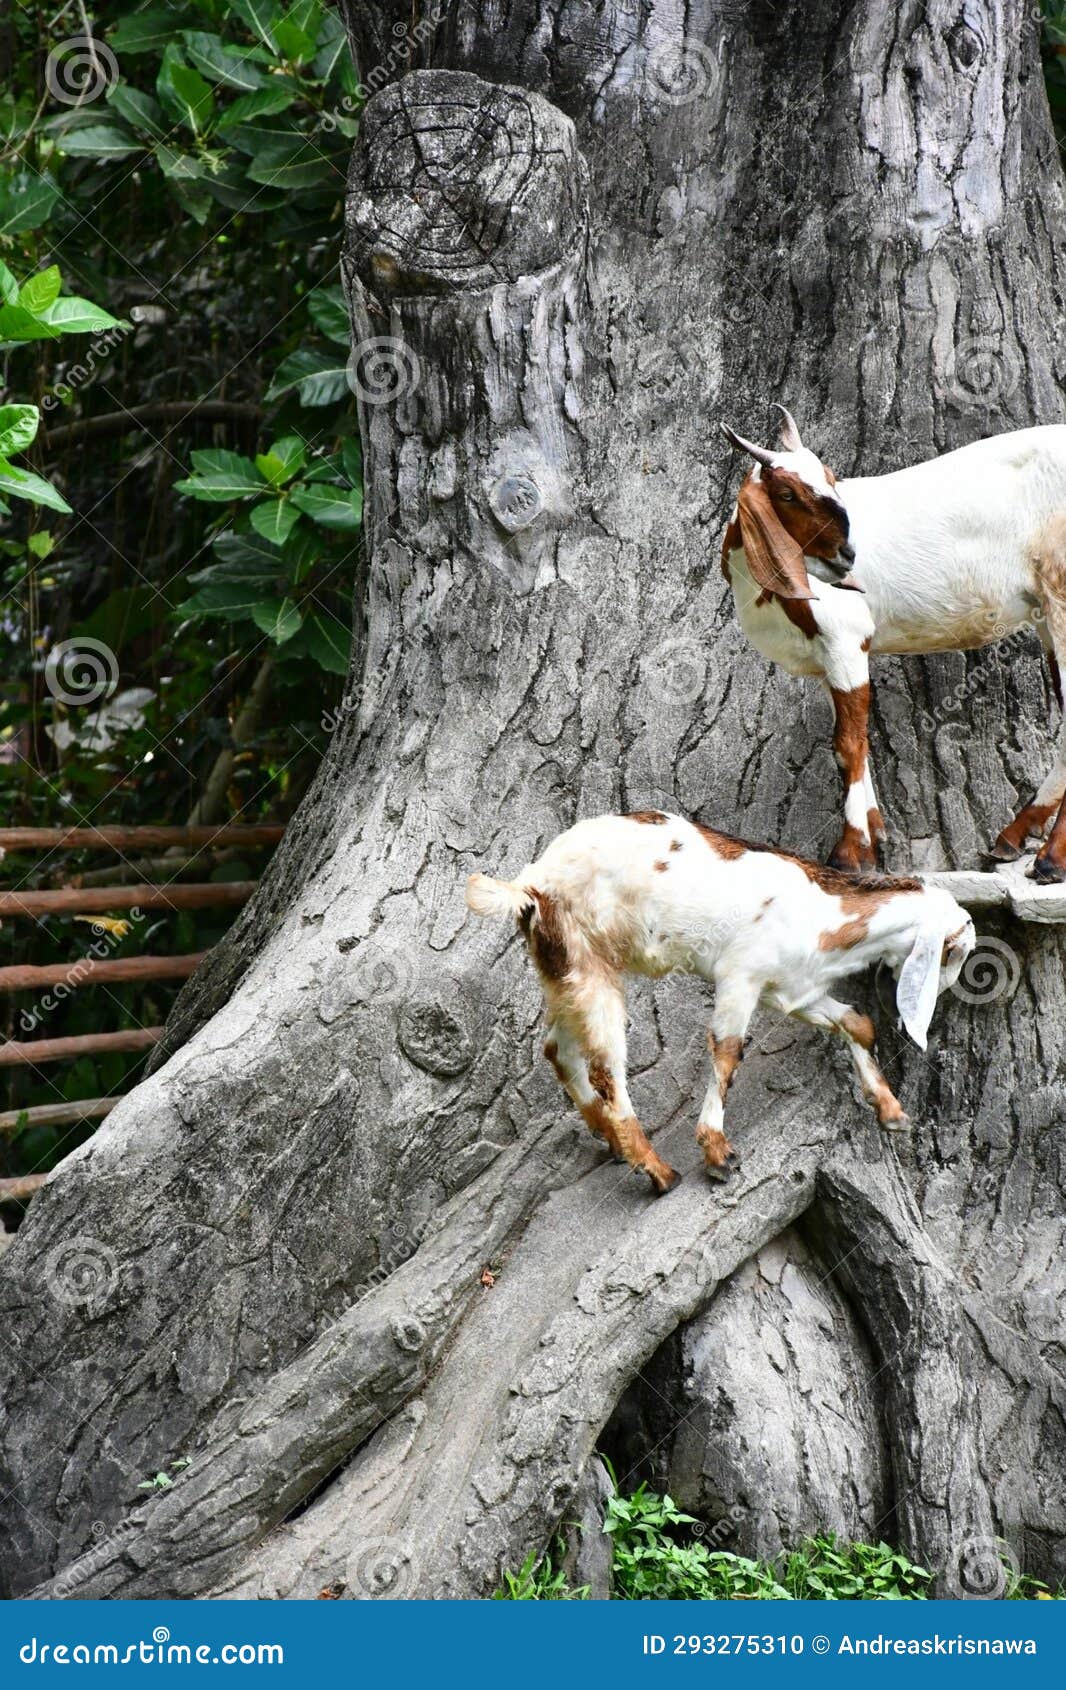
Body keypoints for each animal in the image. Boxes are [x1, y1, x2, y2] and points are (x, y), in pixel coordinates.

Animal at [465, 811, 974, 1195]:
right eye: (955, 950)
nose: (946, 996)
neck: (825, 919)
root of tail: (530, 885)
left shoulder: (791, 992)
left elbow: (857, 1023)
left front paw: (891, 1112)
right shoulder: (740, 979)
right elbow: (727, 1055)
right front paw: (716, 1153)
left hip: (564, 974)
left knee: (558, 1049)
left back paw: (610, 1137)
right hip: (588, 968)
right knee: (606, 1071)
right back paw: (657, 1170)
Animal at [720, 408, 1066, 882]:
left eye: (830, 479)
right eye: (786, 493)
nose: (847, 555)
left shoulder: (845, 638)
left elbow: (847, 746)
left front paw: (851, 853)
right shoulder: (830, 658)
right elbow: (854, 740)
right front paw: (875, 834)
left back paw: (1050, 859)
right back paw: (1012, 838)